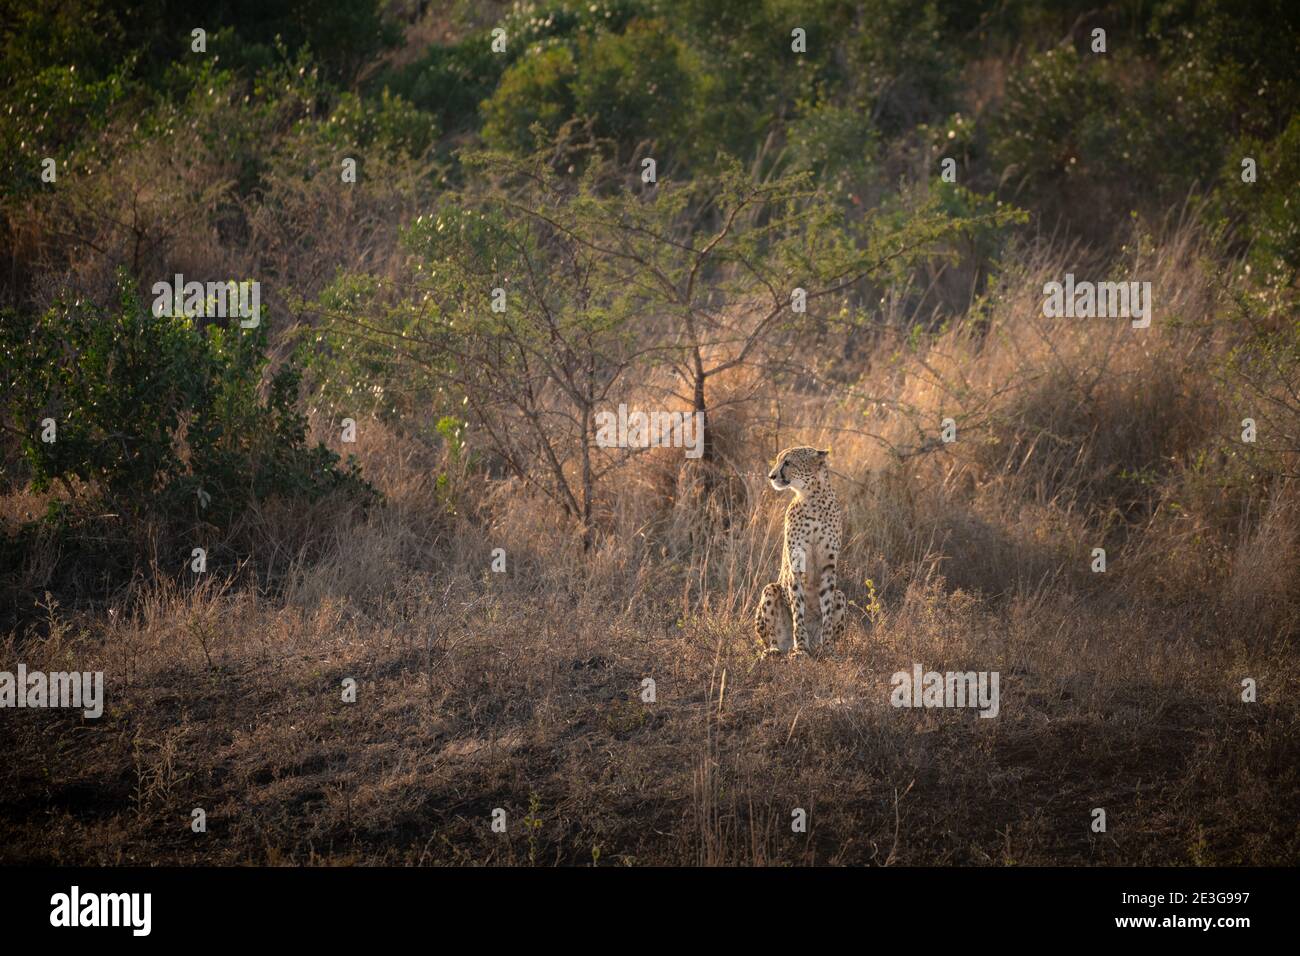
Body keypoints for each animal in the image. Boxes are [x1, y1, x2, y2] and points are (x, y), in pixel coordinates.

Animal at [754, 446, 846, 657]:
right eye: (778, 460)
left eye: (788, 462)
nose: (771, 476)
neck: (812, 498)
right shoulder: (796, 565)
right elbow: (797, 610)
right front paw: (801, 648)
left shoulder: (828, 567)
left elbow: (827, 612)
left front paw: (828, 649)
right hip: (770, 589)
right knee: (771, 639)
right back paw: (775, 650)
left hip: (841, 595)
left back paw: (818, 646)